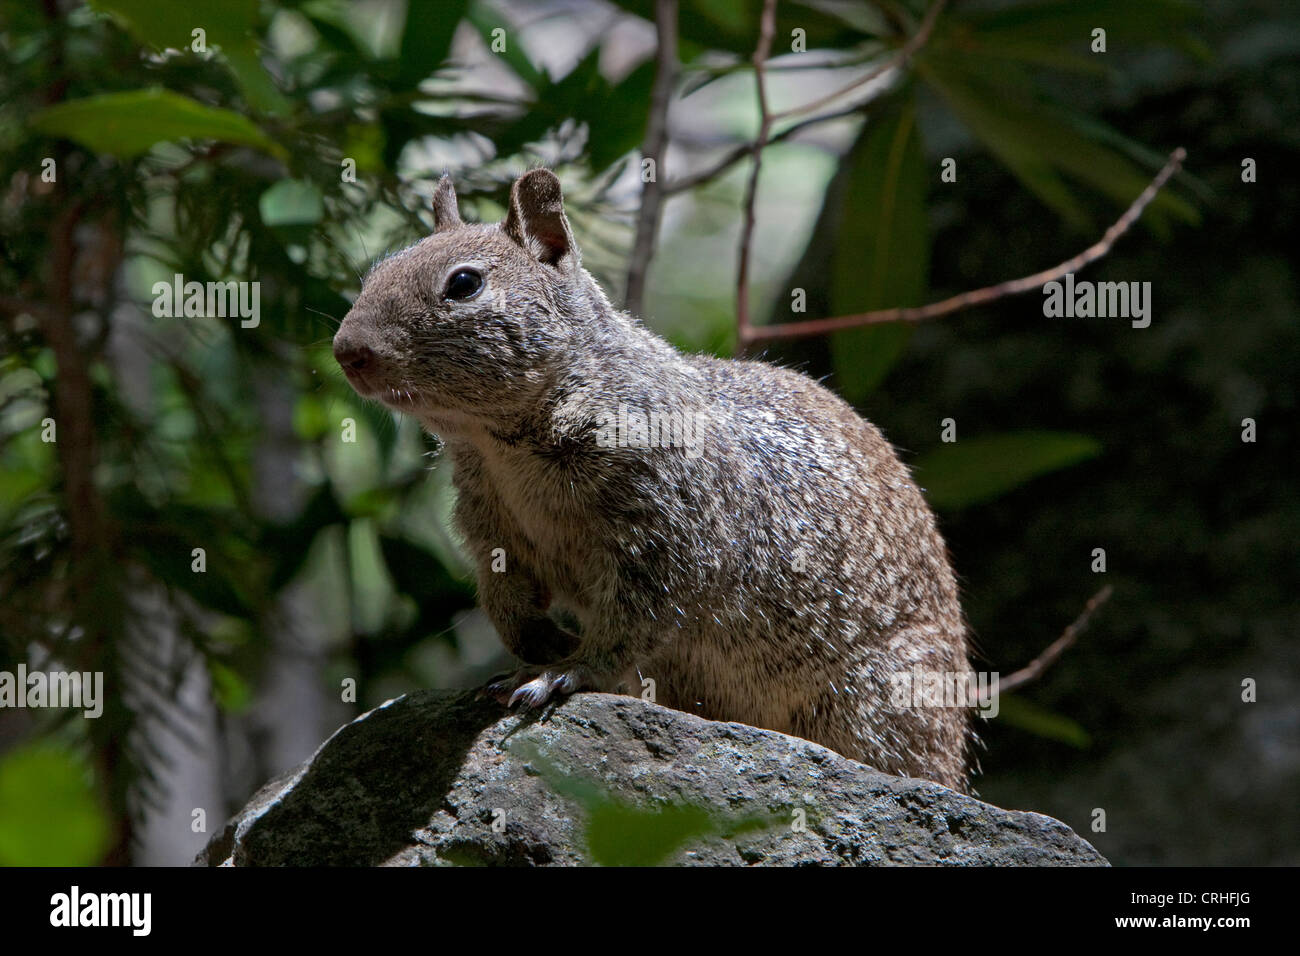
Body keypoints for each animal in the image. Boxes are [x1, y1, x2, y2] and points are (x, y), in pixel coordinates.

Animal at [333, 169, 973, 792]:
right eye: (376, 271)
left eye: (464, 284)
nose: (346, 351)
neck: (497, 445)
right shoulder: (491, 523)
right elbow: (507, 595)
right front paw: (537, 647)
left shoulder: (665, 523)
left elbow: (636, 620)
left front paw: (566, 670)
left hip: (882, 706)